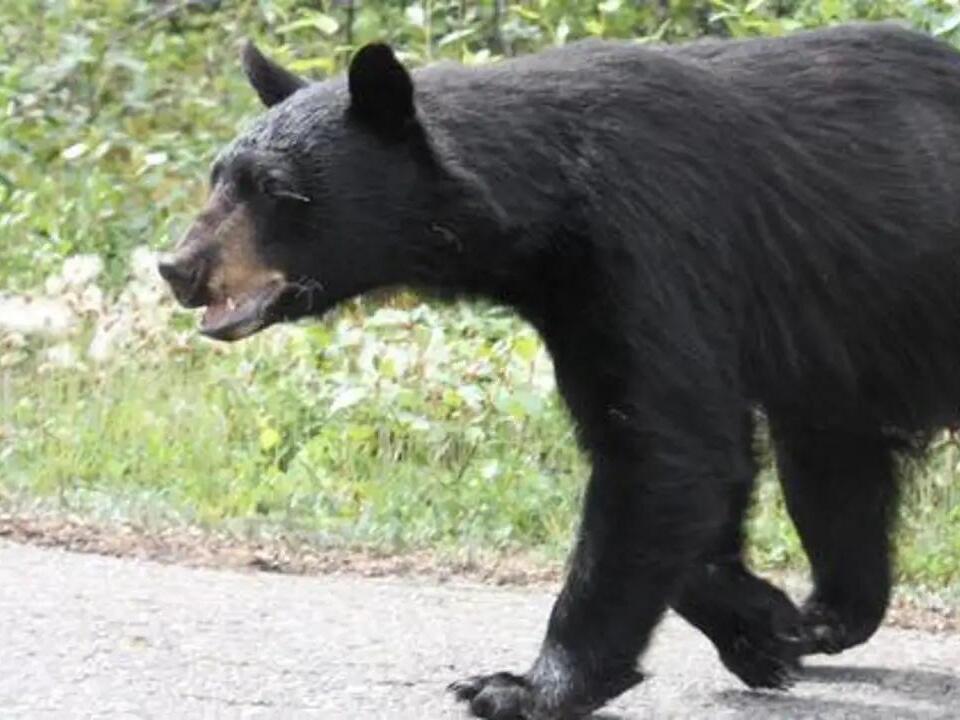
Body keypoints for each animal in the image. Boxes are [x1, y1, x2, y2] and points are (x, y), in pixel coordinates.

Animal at [158, 21, 960, 720]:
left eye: (276, 189)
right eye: (219, 177)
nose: (179, 267)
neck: (551, 209)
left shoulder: (652, 250)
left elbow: (667, 449)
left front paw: (519, 687)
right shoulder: (580, 303)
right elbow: (688, 451)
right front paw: (765, 626)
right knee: (830, 466)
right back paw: (833, 614)